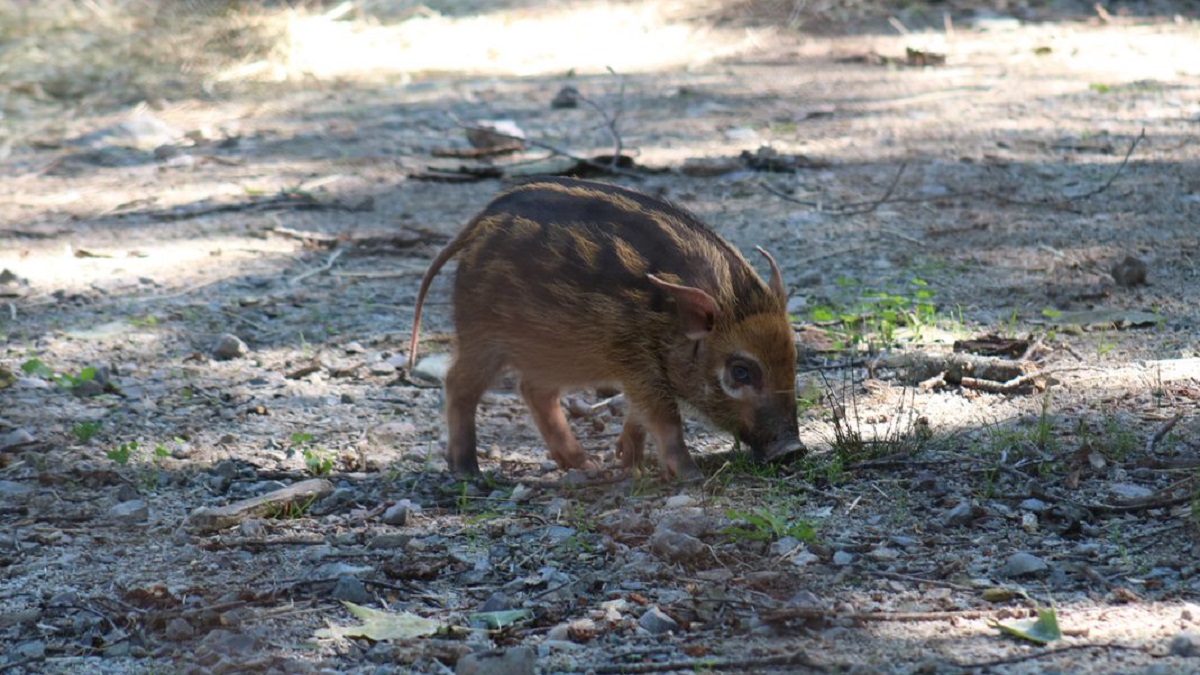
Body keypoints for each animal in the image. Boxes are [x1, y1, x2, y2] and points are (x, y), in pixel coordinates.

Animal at [408, 177, 803, 480]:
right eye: (741, 371)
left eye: (793, 360)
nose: (793, 449)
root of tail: (478, 223)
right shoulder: (635, 361)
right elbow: (665, 417)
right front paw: (691, 476)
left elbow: (640, 416)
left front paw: (629, 463)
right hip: (481, 333)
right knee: (460, 384)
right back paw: (468, 472)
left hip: (553, 351)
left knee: (535, 390)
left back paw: (586, 465)